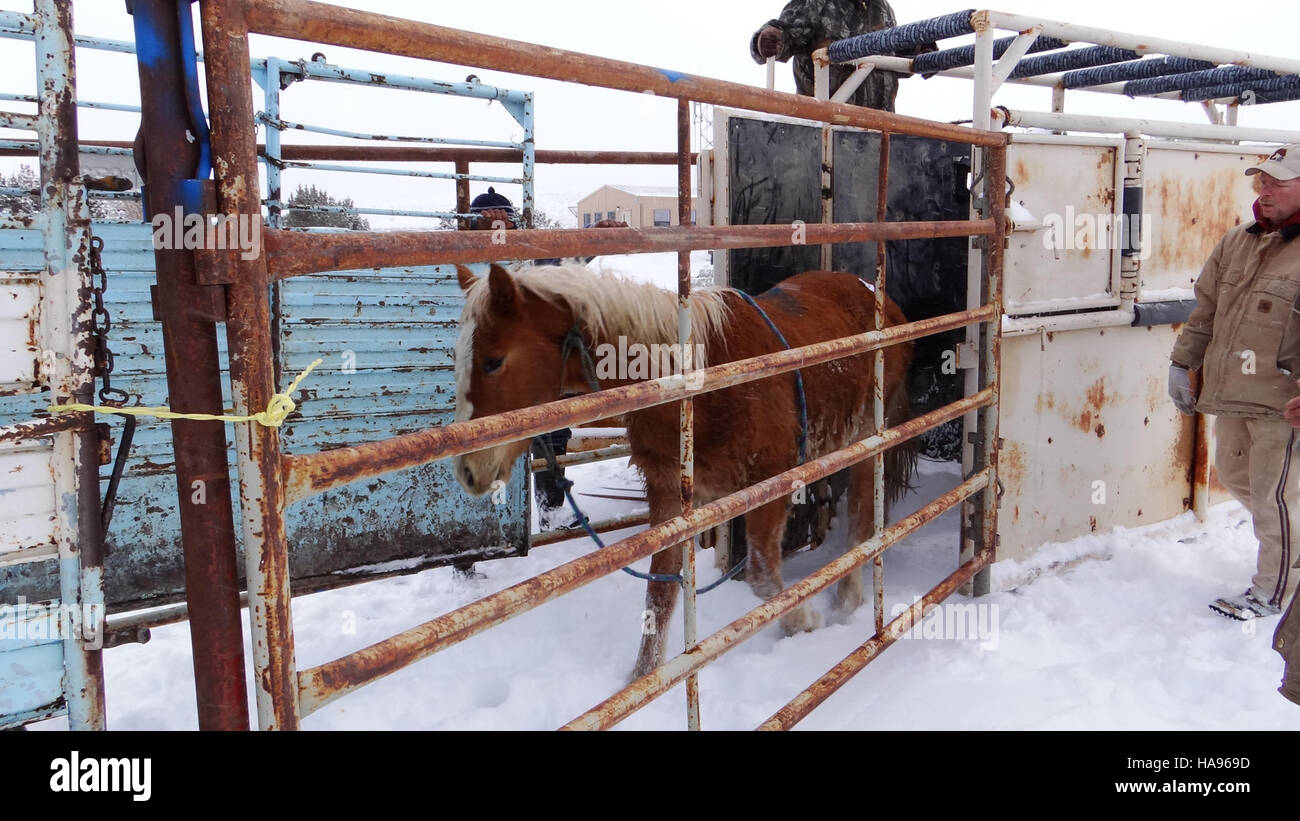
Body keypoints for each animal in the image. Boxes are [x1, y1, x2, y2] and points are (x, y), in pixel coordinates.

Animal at [452, 262, 916, 679]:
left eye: (493, 361)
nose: (468, 471)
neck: (692, 385)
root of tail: (880, 298)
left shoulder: (769, 481)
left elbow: (763, 577)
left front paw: (803, 621)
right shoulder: (670, 495)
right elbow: (658, 593)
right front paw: (644, 677)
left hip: (868, 436)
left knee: (862, 515)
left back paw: (849, 597)